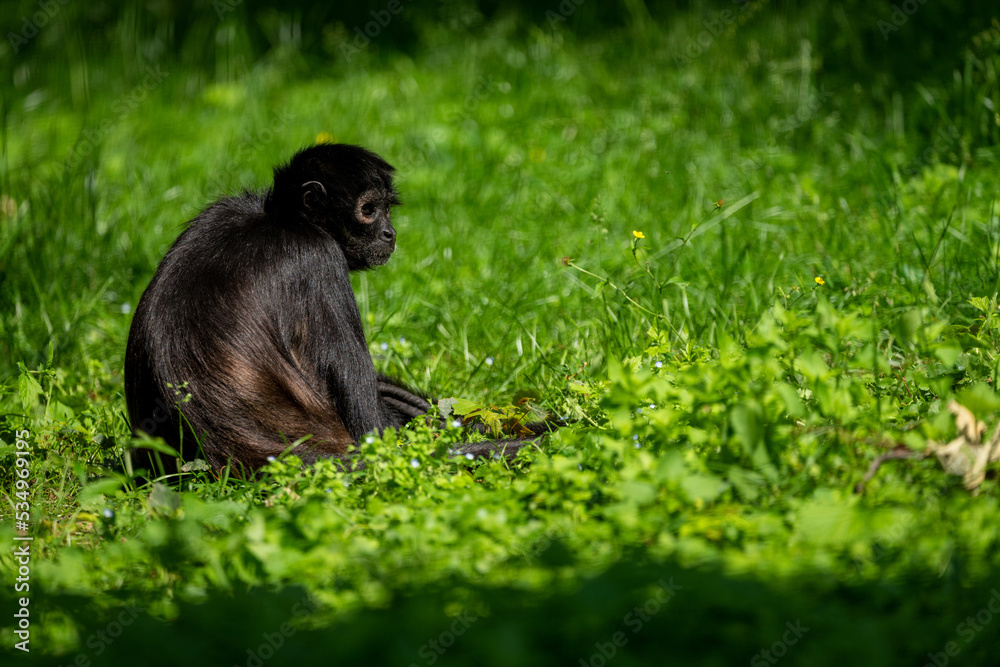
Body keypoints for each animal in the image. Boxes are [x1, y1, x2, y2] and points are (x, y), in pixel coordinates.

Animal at [124, 143, 548, 477]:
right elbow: (373, 429)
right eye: (369, 209)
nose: (390, 234)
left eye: (388, 209)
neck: (281, 220)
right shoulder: (319, 259)